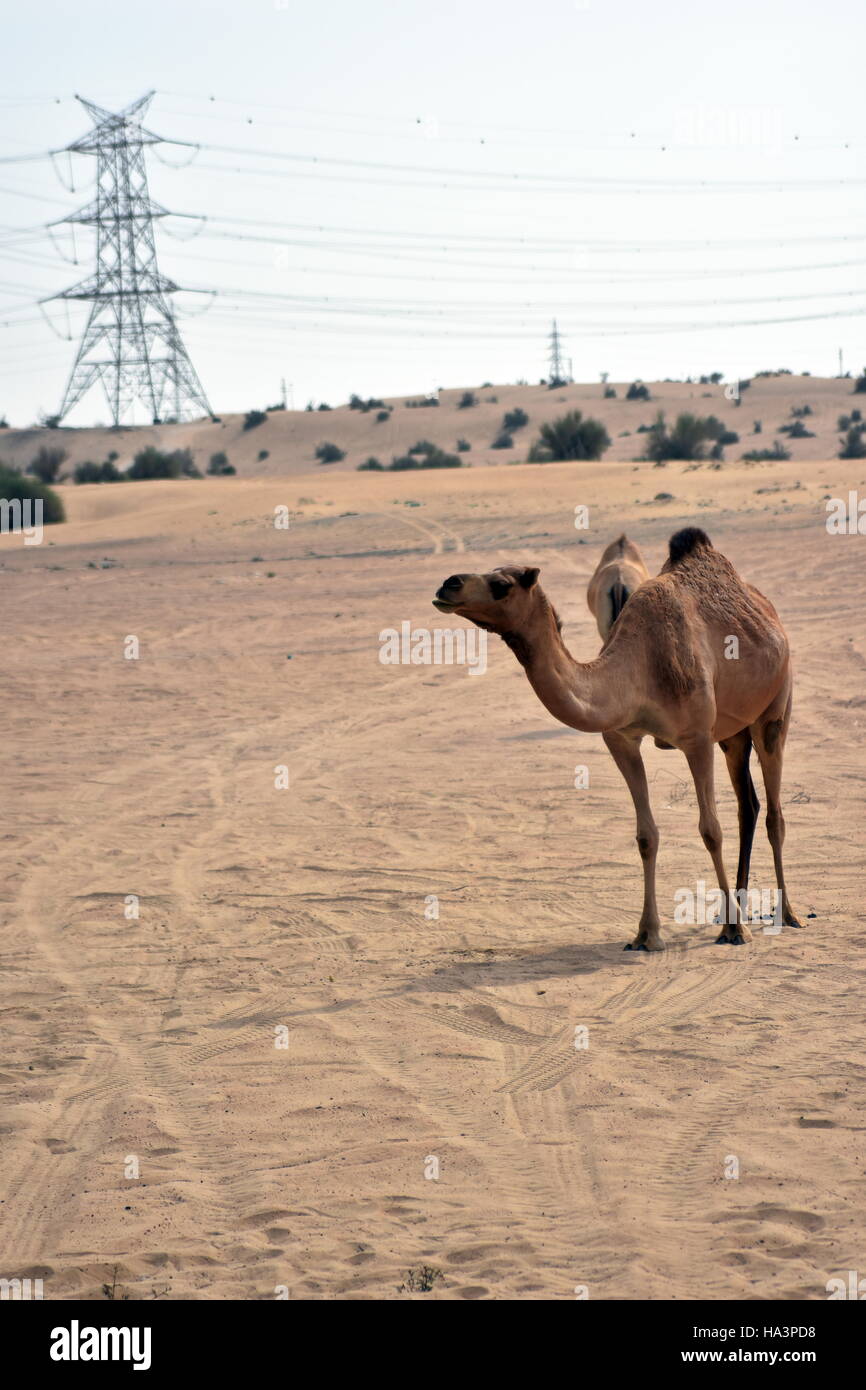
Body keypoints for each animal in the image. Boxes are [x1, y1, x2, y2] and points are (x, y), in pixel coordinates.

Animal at [433, 527, 802, 951]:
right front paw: (646, 934)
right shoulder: (621, 740)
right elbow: (646, 835)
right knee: (749, 806)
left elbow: (710, 829)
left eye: (501, 584)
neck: (638, 670)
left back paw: (785, 913)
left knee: (773, 810)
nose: (448, 584)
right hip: (732, 734)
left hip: (775, 707)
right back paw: (730, 909)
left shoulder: (696, 738)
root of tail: (769, 613)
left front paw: (735, 931)